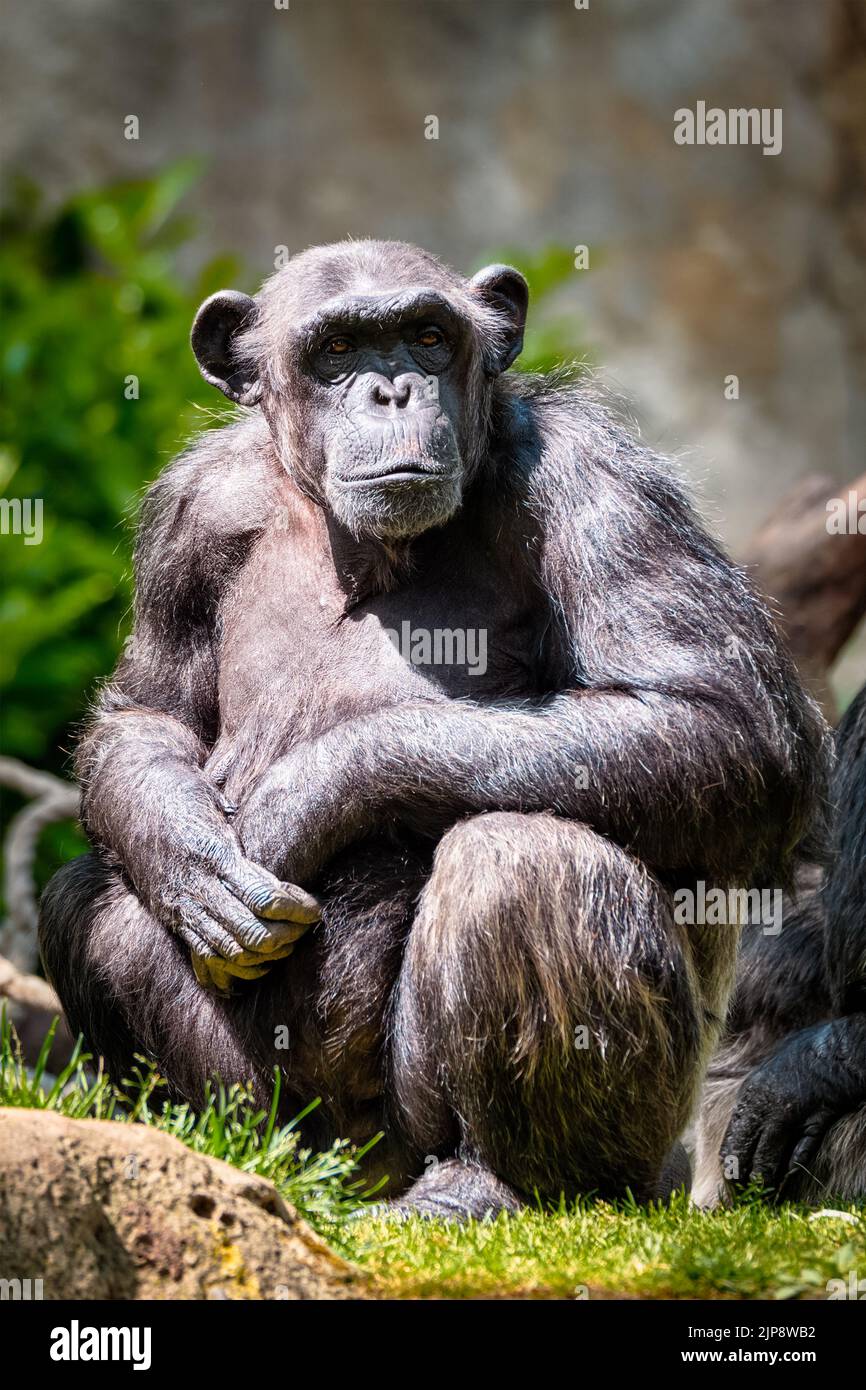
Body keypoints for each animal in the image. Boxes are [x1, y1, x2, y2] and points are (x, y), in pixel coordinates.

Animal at [39, 239, 828, 1219]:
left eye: (426, 336)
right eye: (337, 350)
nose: (392, 392)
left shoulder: (595, 480)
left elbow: (721, 717)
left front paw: (305, 797)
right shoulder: (189, 515)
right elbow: (151, 713)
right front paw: (191, 857)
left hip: (610, 1150)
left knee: (523, 863)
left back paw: (485, 1185)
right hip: (307, 1125)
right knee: (87, 898)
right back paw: (236, 1156)